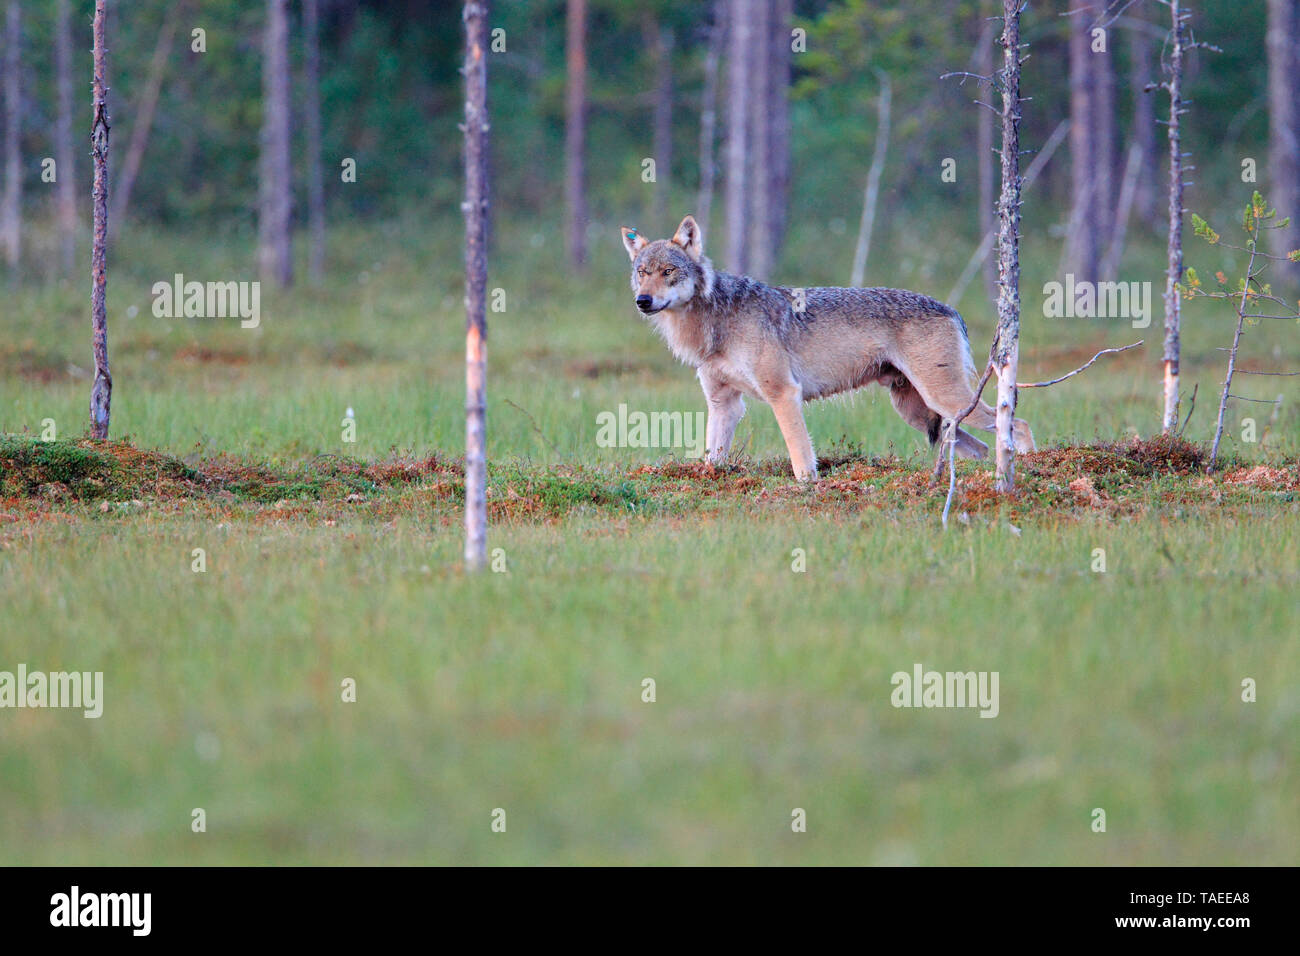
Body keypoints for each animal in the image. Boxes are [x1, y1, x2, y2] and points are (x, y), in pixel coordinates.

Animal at [620, 215, 1035, 480]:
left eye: (668, 272)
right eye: (642, 272)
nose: (642, 301)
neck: (715, 319)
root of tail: (952, 309)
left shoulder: (783, 393)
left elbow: (800, 455)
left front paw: (807, 488)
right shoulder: (724, 404)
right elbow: (713, 456)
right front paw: (710, 480)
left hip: (945, 400)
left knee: (1017, 423)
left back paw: (1029, 468)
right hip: (919, 412)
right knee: (981, 448)